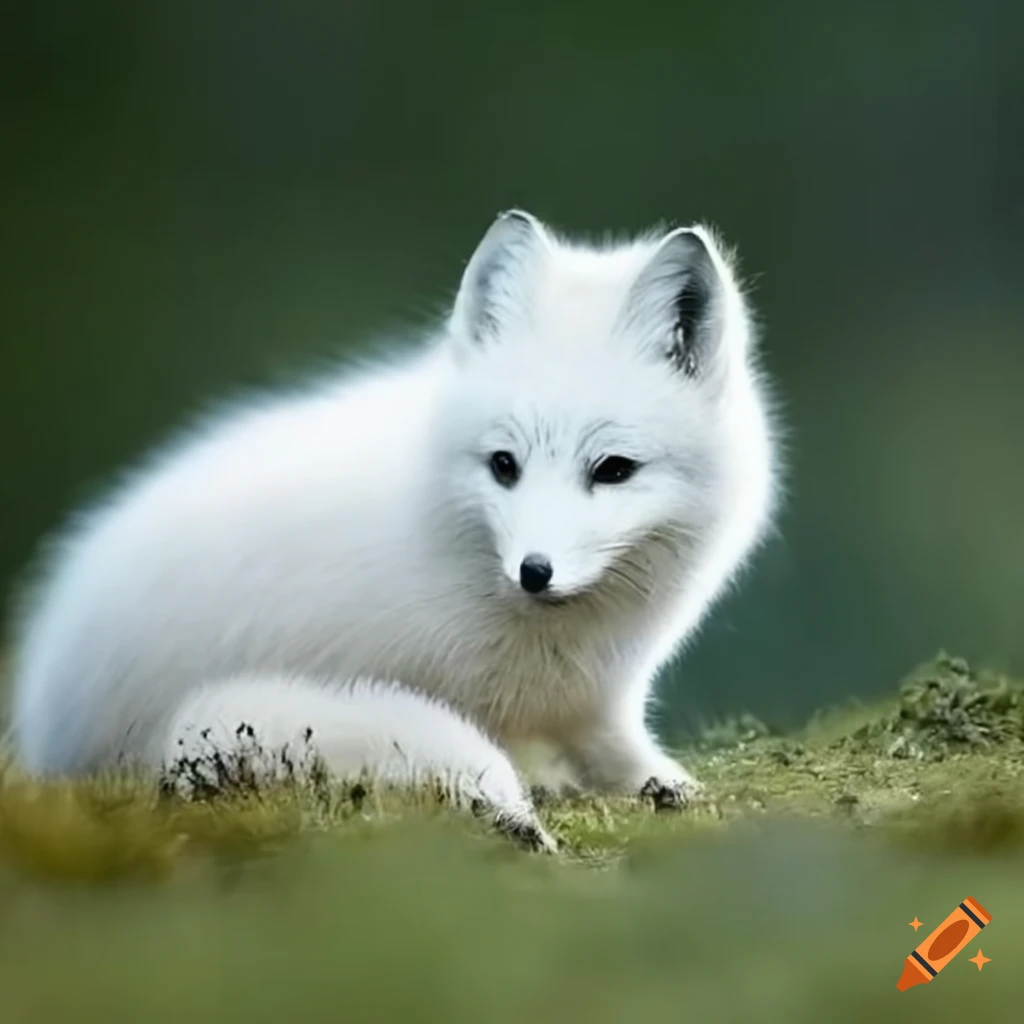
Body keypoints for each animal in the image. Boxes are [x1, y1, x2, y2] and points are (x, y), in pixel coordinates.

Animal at [5, 210, 778, 852]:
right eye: (503, 465)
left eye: (614, 469)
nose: (534, 571)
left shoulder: (601, 703)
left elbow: (622, 756)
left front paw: (665, 786)